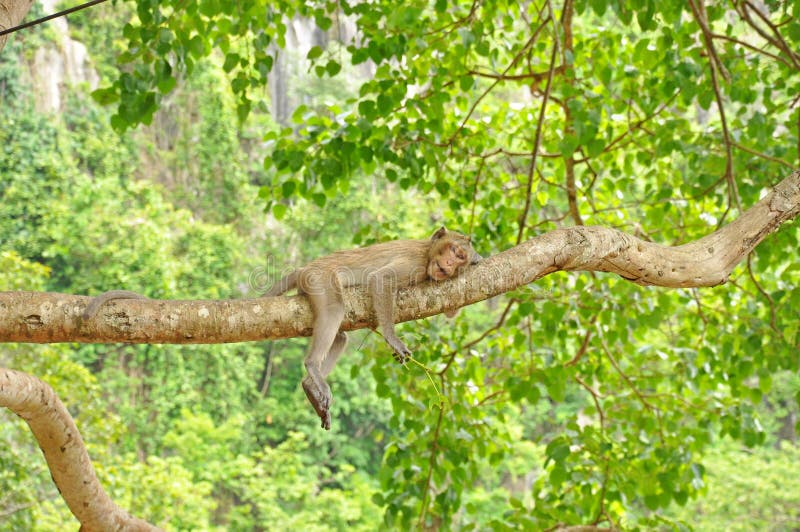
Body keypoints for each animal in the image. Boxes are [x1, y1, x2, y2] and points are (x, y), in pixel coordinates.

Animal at [266, 226, 481, 430]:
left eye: (461, 258)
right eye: (454, 250)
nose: (451, 264)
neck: (428, 252)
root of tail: (305, 267)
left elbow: (451, 307)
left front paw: (476, 259)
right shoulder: (415, 262)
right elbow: (382, 278)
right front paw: (392, 337)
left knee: (340, 338)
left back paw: (310, 386)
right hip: (318, 278)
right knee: (334, 310)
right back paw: (312, 365)